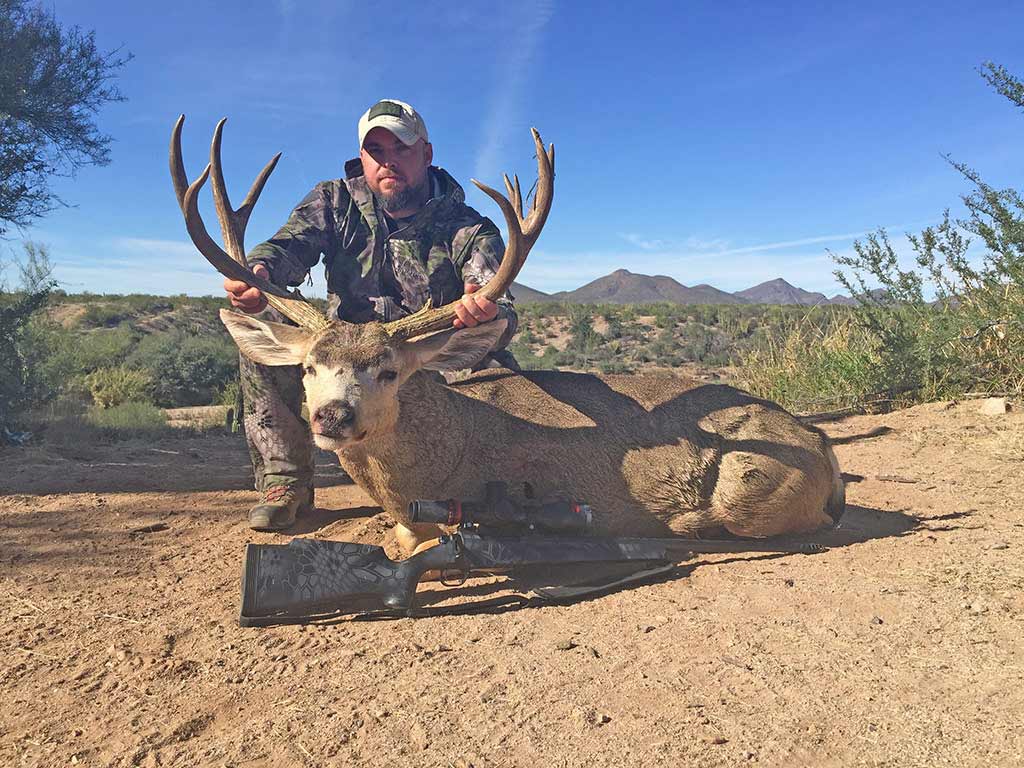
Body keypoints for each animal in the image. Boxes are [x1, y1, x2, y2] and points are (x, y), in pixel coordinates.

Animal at [170, 116, 845, 555]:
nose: (333, 416)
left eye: (390, 369)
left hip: (748, 488)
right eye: (309, 366)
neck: (442, 453)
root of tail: (820, 442)